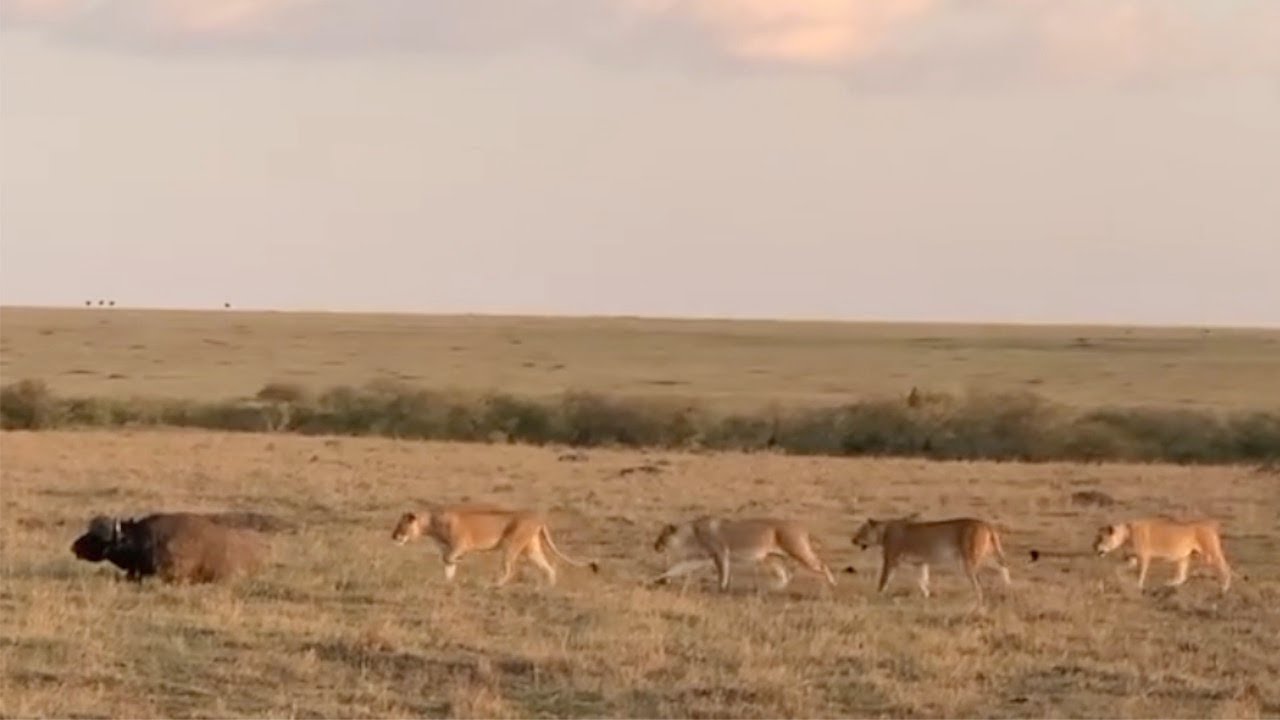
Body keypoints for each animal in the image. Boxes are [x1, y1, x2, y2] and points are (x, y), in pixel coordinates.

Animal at [391, 504, 599, 586]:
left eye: (400, 525)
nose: (393, 536)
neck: (431, 524)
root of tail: (538, 519)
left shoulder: (461, 544)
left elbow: (448, 558)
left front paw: (458, 564)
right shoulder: (448, 548)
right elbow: (447, 566)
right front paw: (447, 582)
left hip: (511, 545)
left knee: (510, 570)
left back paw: (493, 585)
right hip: (530, 549)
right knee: (548, 568)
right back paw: (548, 588)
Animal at [650, 516, 837, 592]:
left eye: (661, 537)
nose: (655, 546)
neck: (692, 534)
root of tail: (802, 528)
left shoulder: (721, 553)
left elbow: (723, 574)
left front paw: (722, 589)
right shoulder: (700, 558)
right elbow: (676, 568)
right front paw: (658, 579)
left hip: (798, 551)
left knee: (822, 565)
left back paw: (832, 583)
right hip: (771, 558)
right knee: (784, 577)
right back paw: (767, 590)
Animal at [851, 514, 1011, 606]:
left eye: (861, 530)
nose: (853, 540)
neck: (883, 531)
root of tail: (987, 524)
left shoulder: (891, 559)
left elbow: (884, 579)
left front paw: (876, 595)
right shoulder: (921, 563)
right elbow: (922, 580)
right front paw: (926, 597)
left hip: (971, 559)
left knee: (979, 581)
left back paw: (978, 600)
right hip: (985, 555)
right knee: (1003, 566)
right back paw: (1008, 588)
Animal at [1093, 517, 1232, 593]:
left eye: (1101, 539)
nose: (1094, 547)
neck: (1127, 534)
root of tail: (1210, 525)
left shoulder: (1144, 557)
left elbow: (1140, 574)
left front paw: (1138, 586)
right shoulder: (1132, 559)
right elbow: (1117, 569)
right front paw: (1120, 579)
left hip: (1210, 552)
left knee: (1224, 567)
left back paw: (1224, 588)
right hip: (1184, 557)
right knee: (1182, 576)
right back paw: (1167, 584)